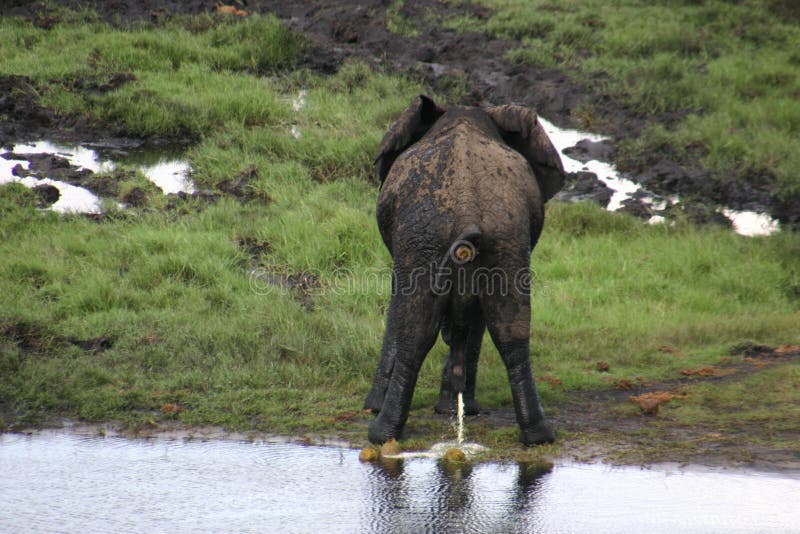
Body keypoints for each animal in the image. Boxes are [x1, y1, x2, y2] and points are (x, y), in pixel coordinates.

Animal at [364, 95, 565, 446]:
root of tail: (466, 206)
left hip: (426, 236)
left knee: (414, 329)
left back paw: (380, 434)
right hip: (505, 241)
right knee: (510, 329)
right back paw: (538, 436)